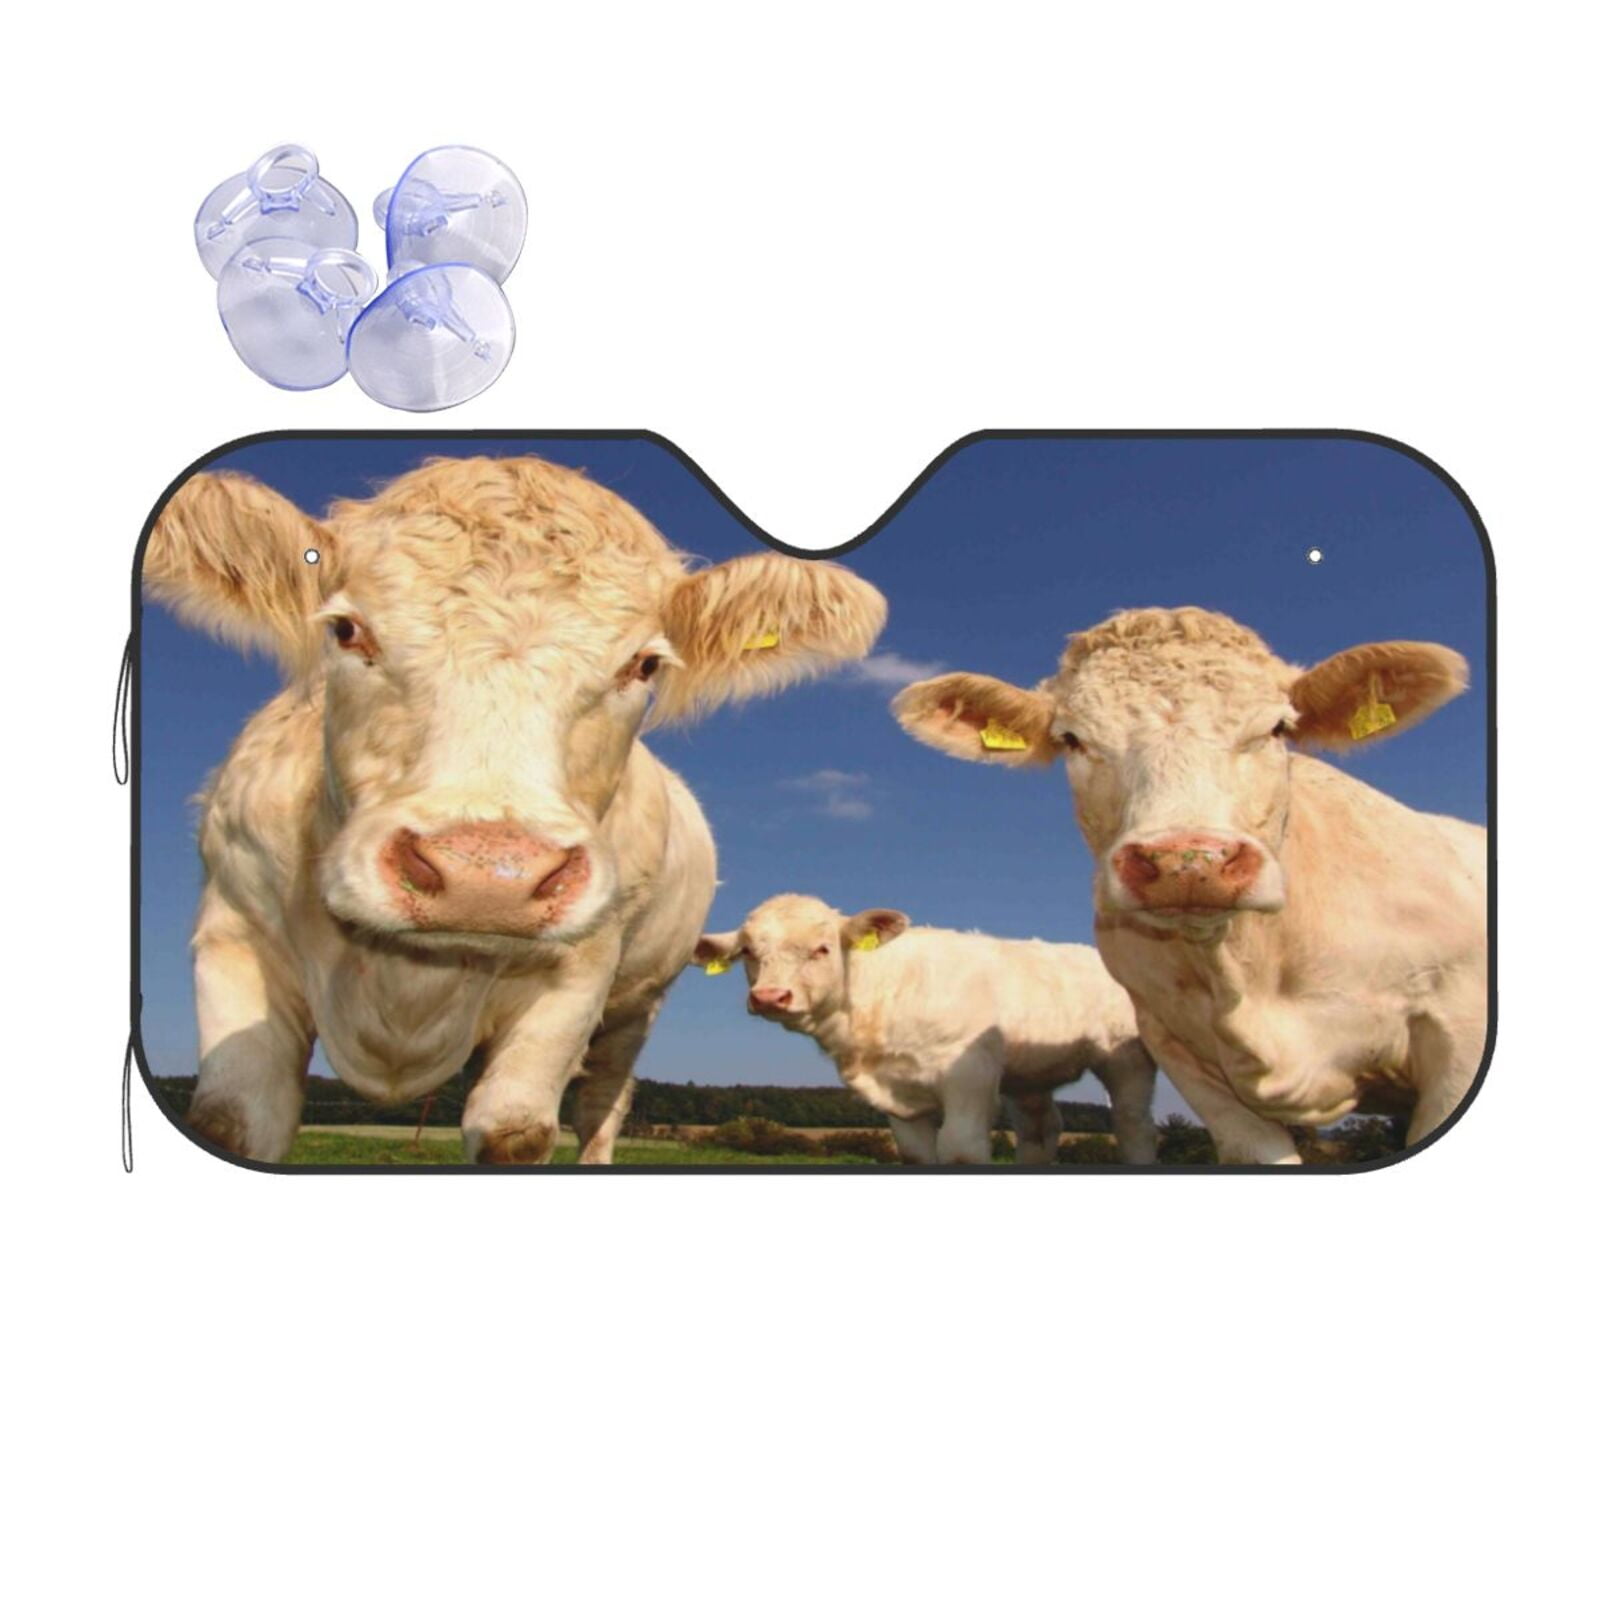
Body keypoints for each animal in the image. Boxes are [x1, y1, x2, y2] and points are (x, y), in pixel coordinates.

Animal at [143, 456, 887, 1164]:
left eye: (644, 665)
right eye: (347, 631)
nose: (485, 876)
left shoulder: (579, 978)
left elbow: (517, 1131)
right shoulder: (235, 933)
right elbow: (234, 1120)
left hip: (633, 1011)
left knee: (600, 1110)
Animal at [690, 894, 1158, 1164]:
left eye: (822, 948)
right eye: (748, 952)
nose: (770, 996)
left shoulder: (970, 1075)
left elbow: (961, 1151)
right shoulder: (899, 1100)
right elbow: (916, 1156)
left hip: (1127, 1058)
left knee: (1133, 1124)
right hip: (1029, 1075)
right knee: (1040, 1129)